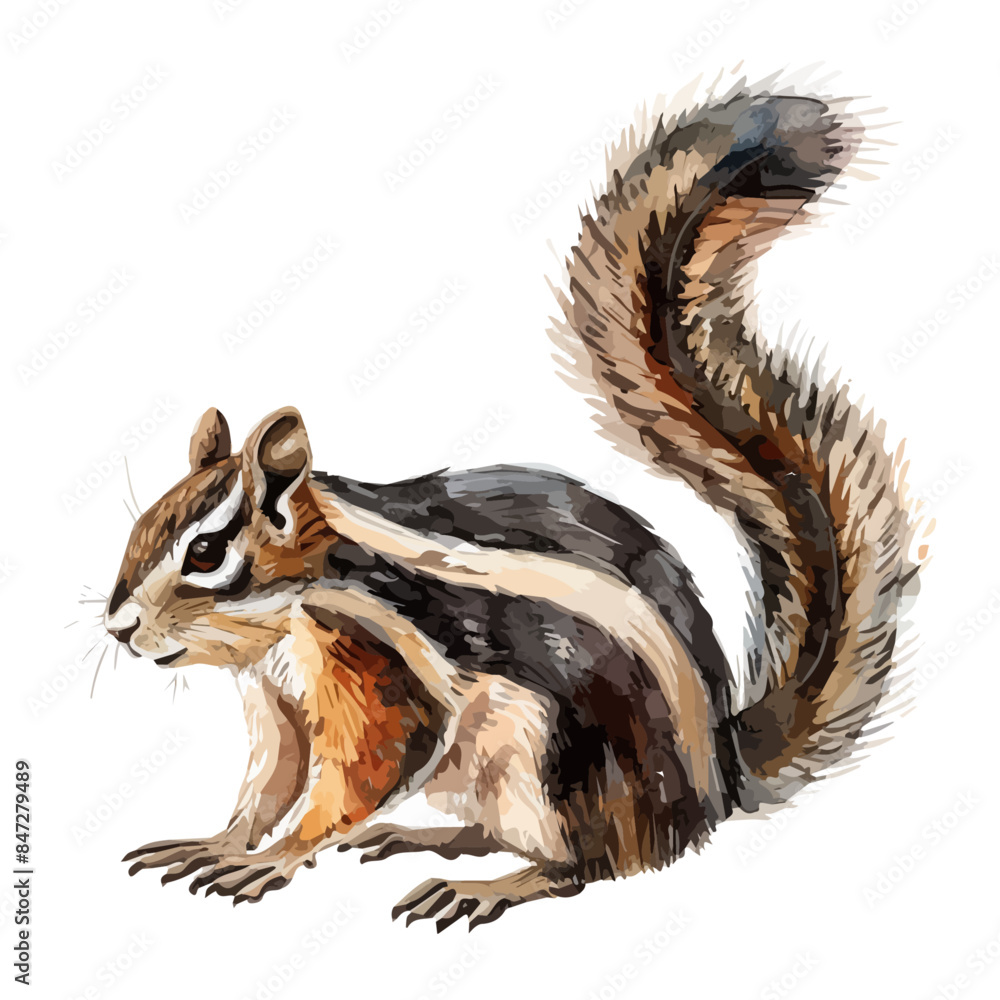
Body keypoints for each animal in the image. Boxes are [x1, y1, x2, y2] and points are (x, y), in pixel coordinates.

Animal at [108, 81, 921, 932]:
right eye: (139, 531)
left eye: (205, 552)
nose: (118, 627)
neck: (297, 602)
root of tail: (714, 784)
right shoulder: (277, 703)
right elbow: (270, 782)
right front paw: (223, 841)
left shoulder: (371, 667)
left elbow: (361, 774)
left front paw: (272, 861)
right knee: (501, 834)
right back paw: (425, 837)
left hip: (552, 761)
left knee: (590, 867)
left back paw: (492, 884)